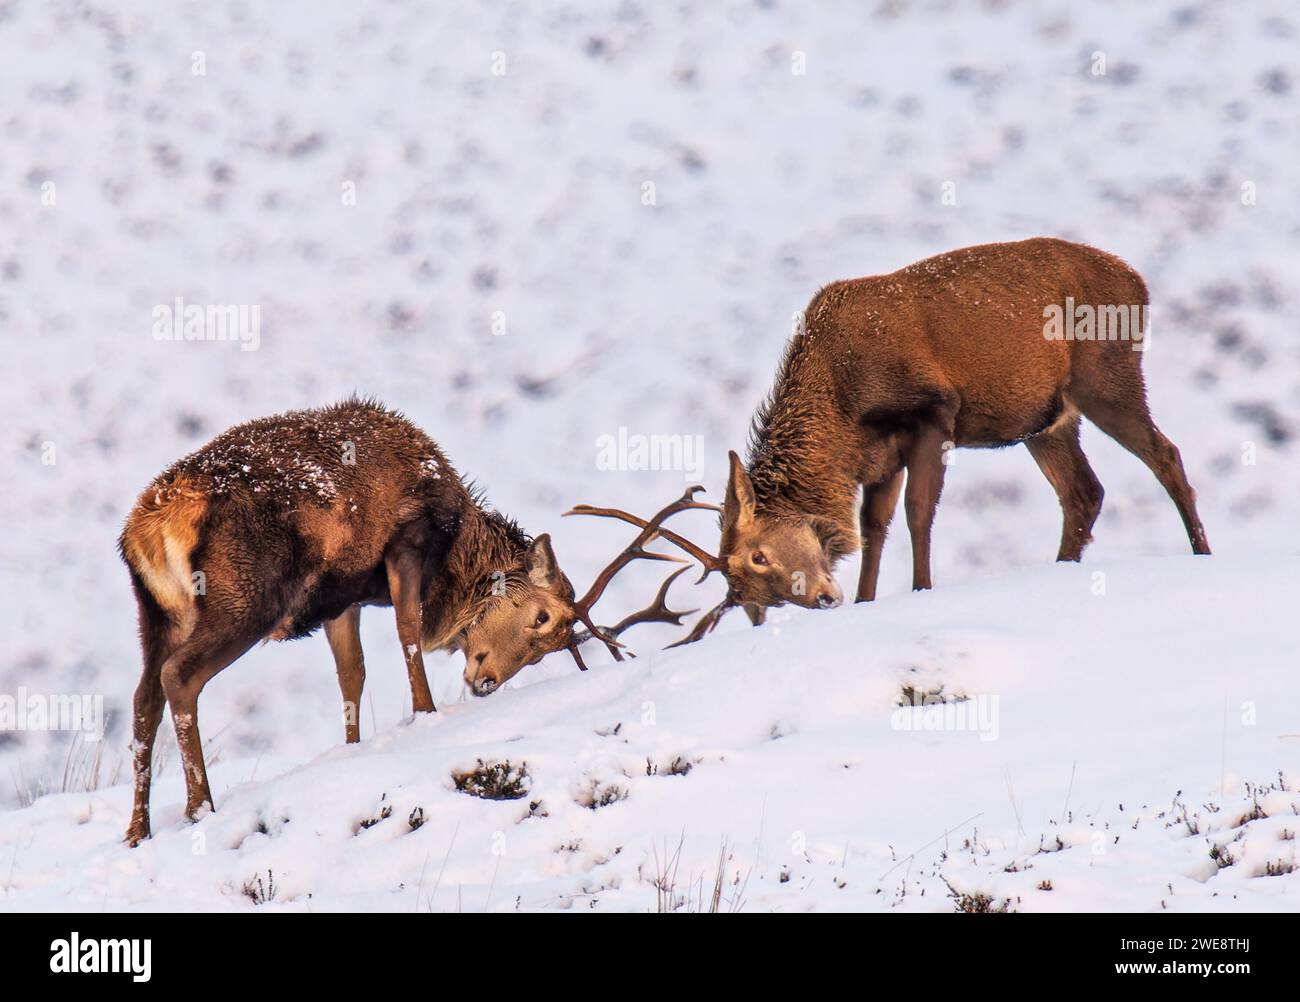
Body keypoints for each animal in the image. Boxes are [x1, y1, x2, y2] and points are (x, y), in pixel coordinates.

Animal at [119, 398, 697, 846]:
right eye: (541, 617)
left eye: (548, 652)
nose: (486, 681)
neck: (459, 552)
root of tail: (149, 523)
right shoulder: (406, 544)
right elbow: (408, 632)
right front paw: (426, 712)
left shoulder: (342, 599)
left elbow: (352, 675)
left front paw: (352, 748)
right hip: (242, 597)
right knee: (178, 677)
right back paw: (200, 806)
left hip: (155, 611)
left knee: (143, 697)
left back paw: (137, 830)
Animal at [569, 238, 1211, 641]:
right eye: (758, 596)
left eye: (757, 555)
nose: (821, 598)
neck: (839, 406)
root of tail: (1140, 283)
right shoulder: (877, 460)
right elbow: (872, 529)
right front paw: (866, 600)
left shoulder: (935, 413)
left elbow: (917, 513)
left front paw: (922, 589)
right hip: (1045, 420)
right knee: (1084, 492)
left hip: (1107, 377)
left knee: (1166, 454)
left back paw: (1202, 552)